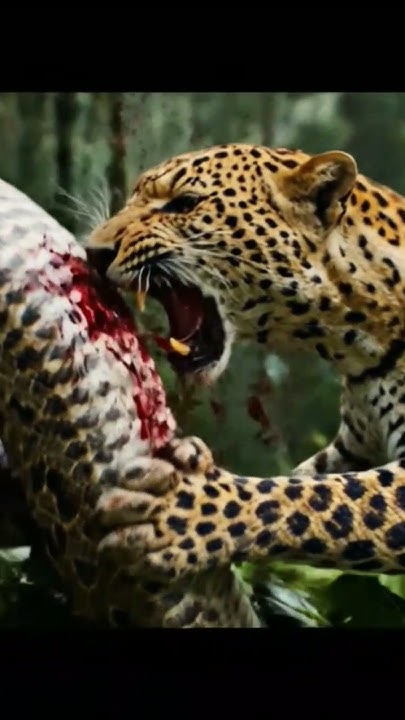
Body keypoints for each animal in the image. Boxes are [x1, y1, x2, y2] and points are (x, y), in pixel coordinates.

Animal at [84, 143, 405, 585]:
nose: (93, 251)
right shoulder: (352, 447)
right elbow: (307, 481)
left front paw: (182, 514)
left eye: (184, 203)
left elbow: (318, 497)